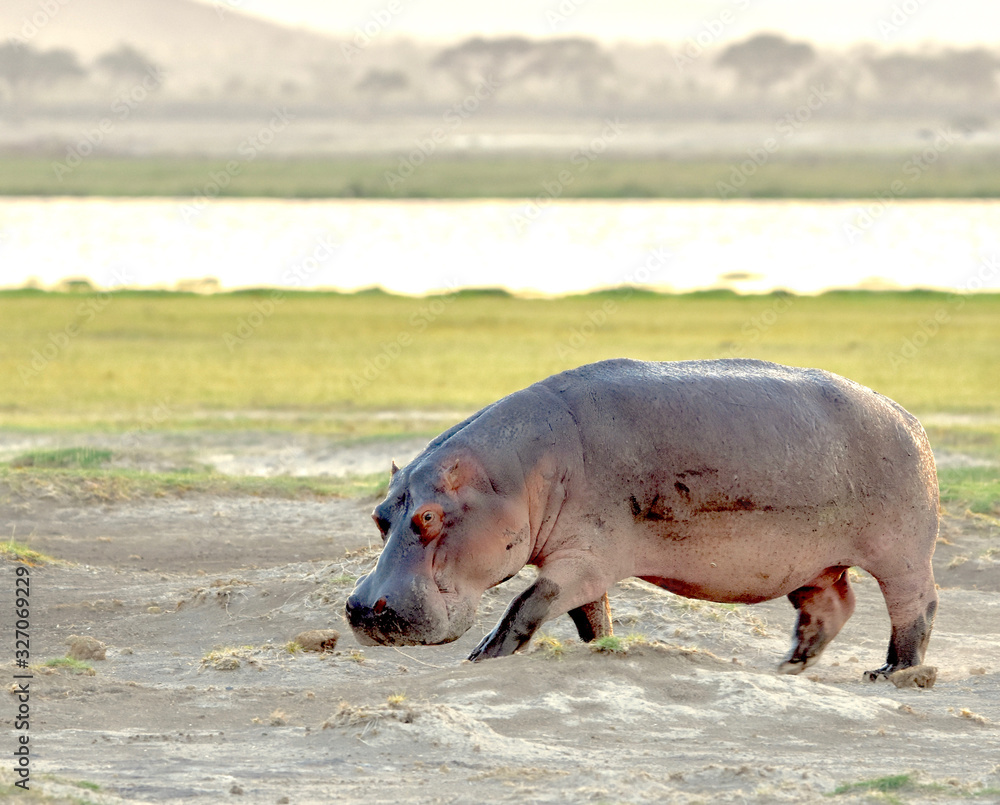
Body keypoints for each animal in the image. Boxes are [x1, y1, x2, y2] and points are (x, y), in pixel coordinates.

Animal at [346, 359, 939, 679]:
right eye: (379, 515)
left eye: (428, 516)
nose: (363, 609)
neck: (515, 473)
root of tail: (909, 417)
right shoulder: (580, 559)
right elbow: (588, 615)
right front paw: (606, 650)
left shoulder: (586, 558)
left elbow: (525, 603)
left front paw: (481, 656)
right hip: (809, 561)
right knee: (831, 604)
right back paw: (788, 664)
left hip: (901, 552)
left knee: (914, 607)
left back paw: (892, 672)